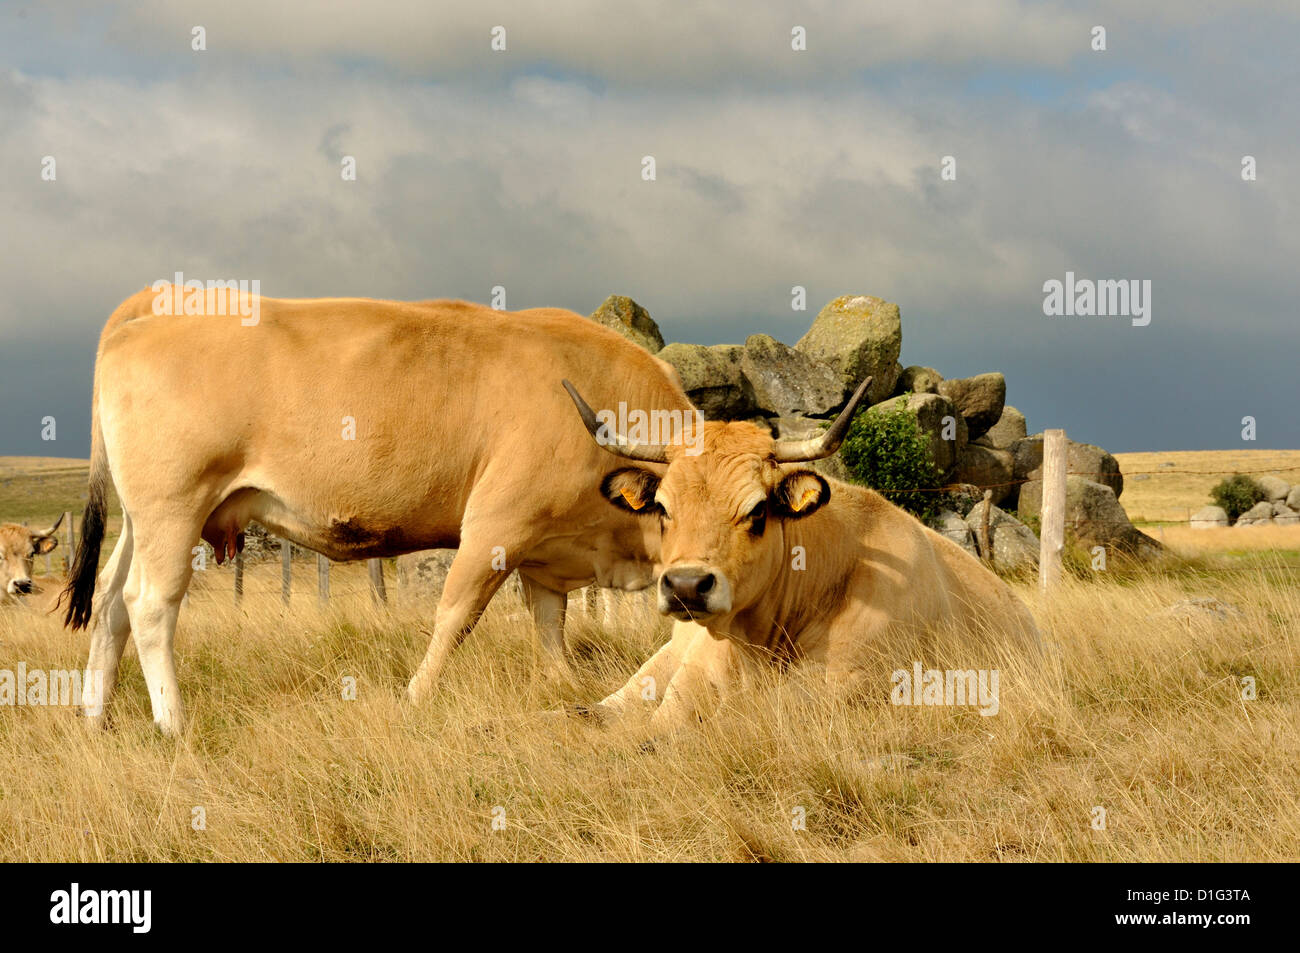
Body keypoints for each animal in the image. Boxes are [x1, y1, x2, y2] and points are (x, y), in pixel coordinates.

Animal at [62, 288, 695, 733]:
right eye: (668, 506)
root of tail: (156, 305)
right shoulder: (498, 523)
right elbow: (456, 615)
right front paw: (416, 697)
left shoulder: (545, 547)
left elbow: (549, 625)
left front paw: (567, 688)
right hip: (174, 507)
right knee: (149, 603)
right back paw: (173, 723)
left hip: (140, 520)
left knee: (109, 599)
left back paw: (96, 717)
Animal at [561, 377, 1042, 731]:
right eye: (662, 508)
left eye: (757, 511)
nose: (686, 585)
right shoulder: (689, 682)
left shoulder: (848, 684)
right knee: (617, 700)